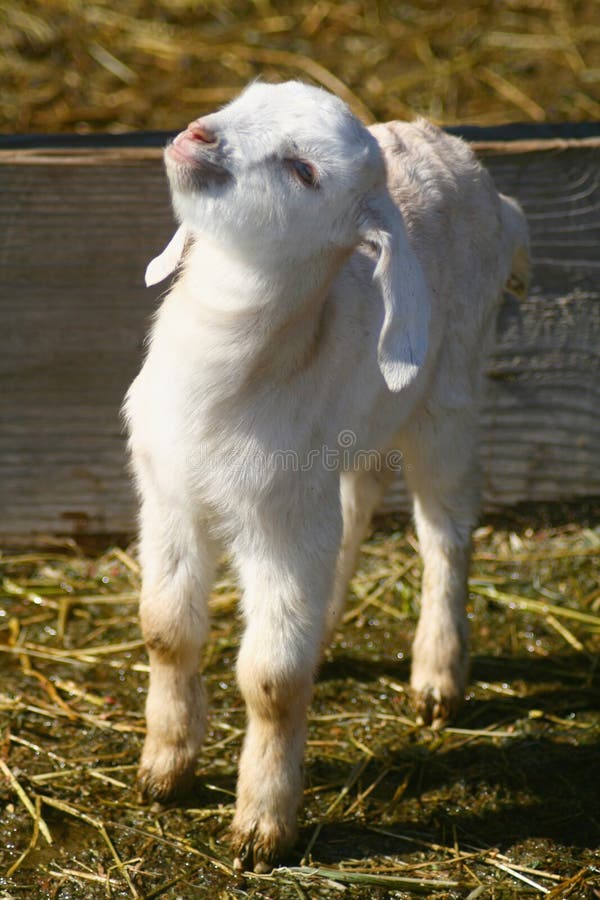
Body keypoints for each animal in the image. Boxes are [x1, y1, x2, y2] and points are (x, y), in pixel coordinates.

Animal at [124, 80, 529, 872]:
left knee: (447, 530)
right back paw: (333, 626)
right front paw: (164, 767)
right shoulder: (170, 500)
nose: (197, 136)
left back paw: (437, 676)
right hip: (347, 437)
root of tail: (466, 163)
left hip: (448, 396)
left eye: (304, 171)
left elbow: (272, 681)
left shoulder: (278, 527)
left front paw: (261, 825)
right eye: (244, 100)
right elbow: (166, 631)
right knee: (358, 499)